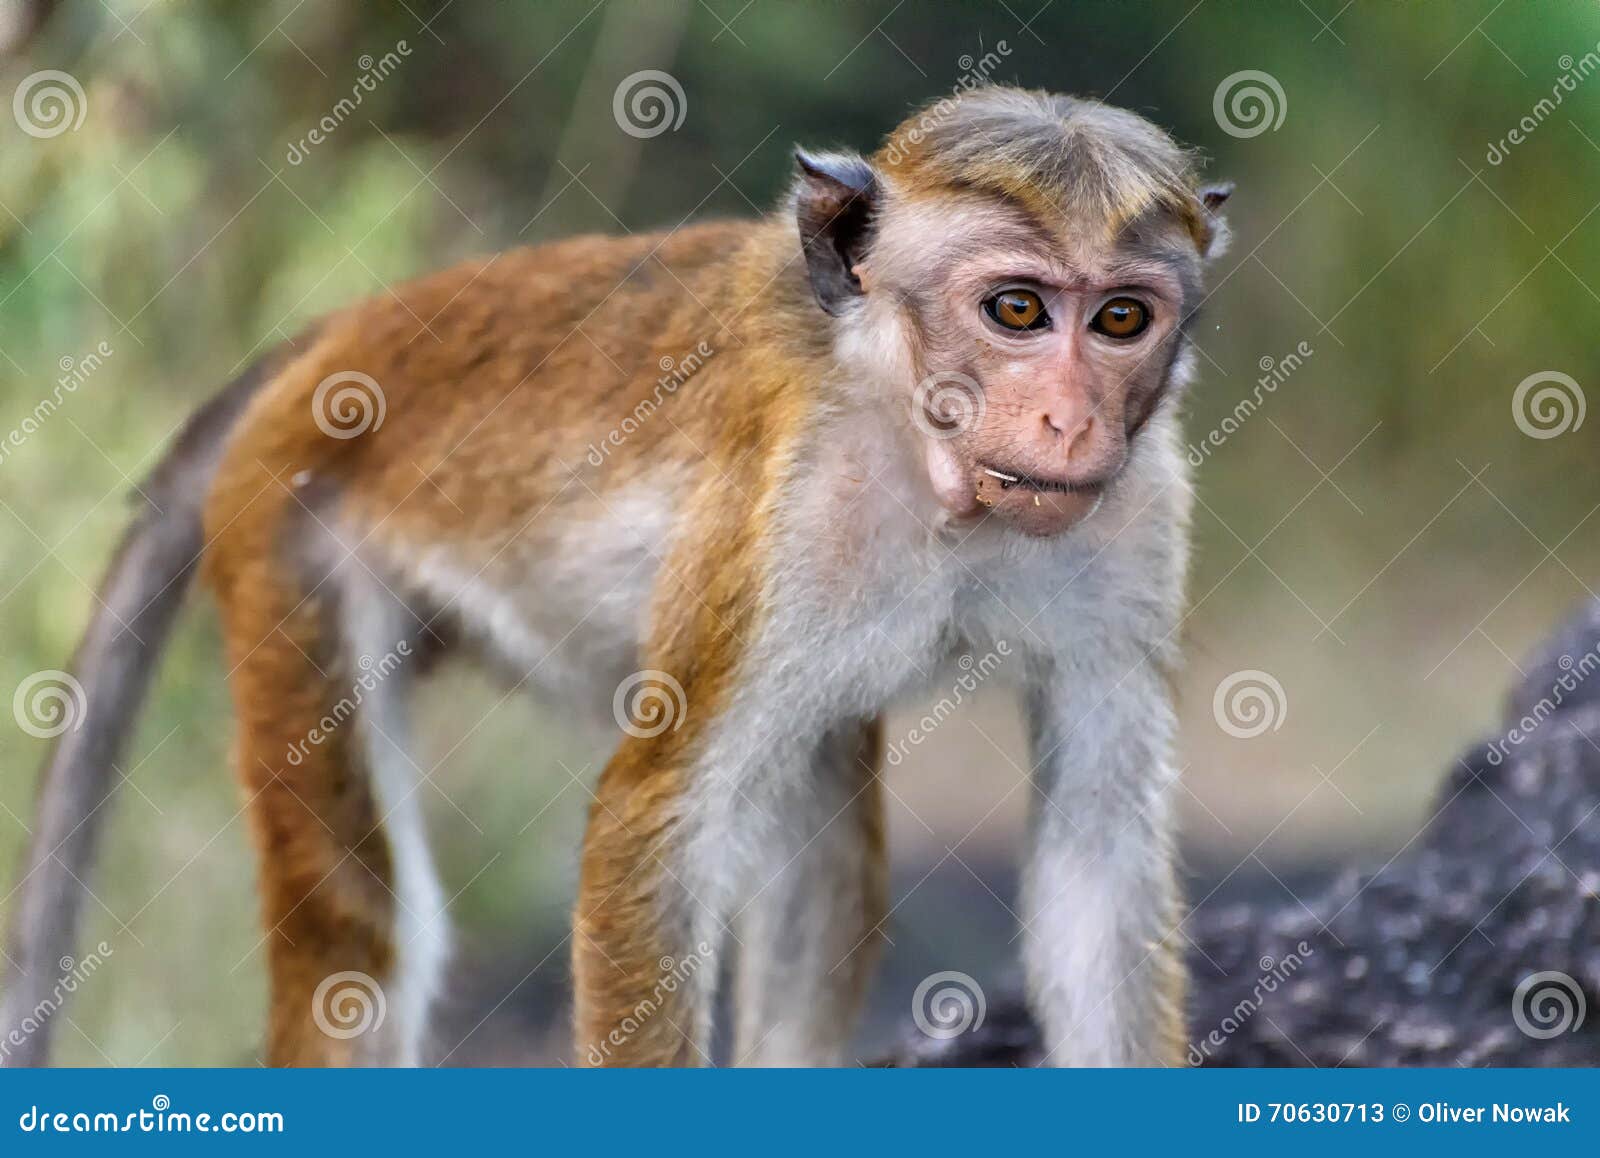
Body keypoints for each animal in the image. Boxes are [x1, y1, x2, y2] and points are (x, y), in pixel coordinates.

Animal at [1, 87, 1230, 1068]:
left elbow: (1097, 859)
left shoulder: (1140, 514)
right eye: (1016, 309)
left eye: (1120, 318)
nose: (1071, 419)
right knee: (361, 939)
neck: (916, 440)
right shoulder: (786, 514)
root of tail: (336, 338)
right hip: (285, 537)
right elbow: (654, 822)